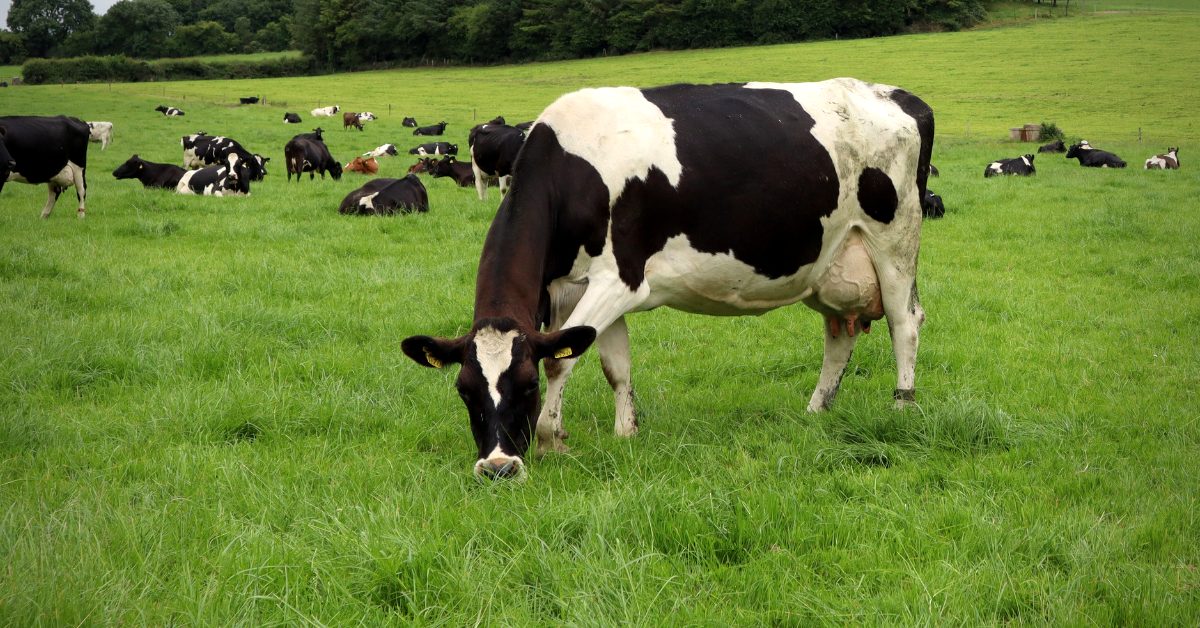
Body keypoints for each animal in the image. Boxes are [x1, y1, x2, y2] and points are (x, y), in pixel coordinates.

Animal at [399, 79, 933, 480]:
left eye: (526, 386)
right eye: (464, 389)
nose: (497, 467)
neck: (569, 168)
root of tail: (897, 96)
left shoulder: (618, 280)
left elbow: (560, 361)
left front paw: (551, 440)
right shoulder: (582, 288)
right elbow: (613, 365)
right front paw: (625, 433)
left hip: (895, 240)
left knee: (905, 323)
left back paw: (902, 407)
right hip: (831, 262)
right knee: (839, 336)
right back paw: (816, 409)